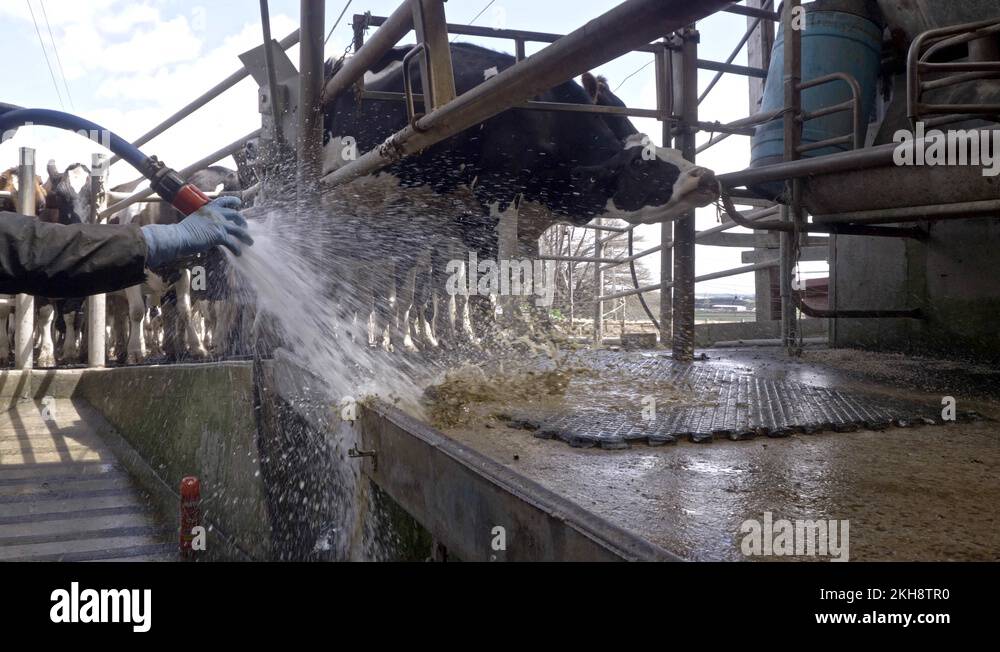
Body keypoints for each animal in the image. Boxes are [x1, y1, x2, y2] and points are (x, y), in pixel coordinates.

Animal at [321, 43, 719, 350]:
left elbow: (525, 277)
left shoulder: (521, 223)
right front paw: (495, 343)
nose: (708, 176)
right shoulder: (489, 198)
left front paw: (535, 334)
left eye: (674, 151)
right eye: (640, 162)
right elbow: (485, 280)